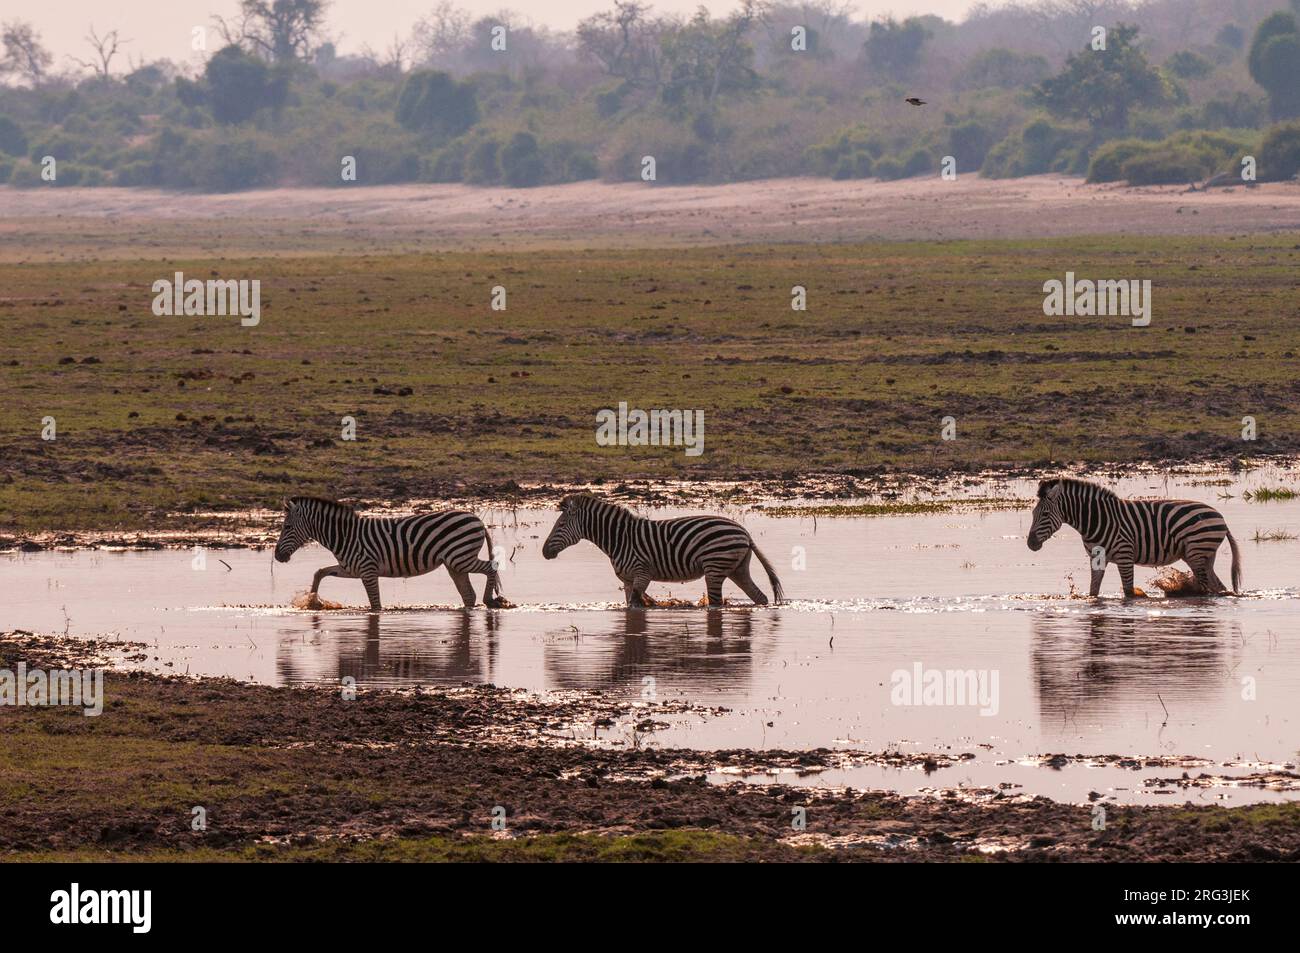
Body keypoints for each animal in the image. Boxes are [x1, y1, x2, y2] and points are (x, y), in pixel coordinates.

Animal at [273, 497, 503, 610]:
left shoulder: (367, 570)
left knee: (492, 567)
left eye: (287, 527)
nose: (277, 556)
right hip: (454, 563)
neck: (345, 536)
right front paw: (313, 602)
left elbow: (375, 606)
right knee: (468, 594)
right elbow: (319, 572)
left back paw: (491, 600)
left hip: (460, 557)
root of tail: (477, 520)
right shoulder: (351, 569)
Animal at [540, 494, 784, 607]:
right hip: (737, 568)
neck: (619, 539)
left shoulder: (642, 574)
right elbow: (629, 605)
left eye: (560, 525)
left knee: (716, 604)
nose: (544, 552)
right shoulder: (627, 580)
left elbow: (637, 606)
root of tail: (745, 533)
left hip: (715, 567)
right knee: (760, 597)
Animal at [1027, 477, 1241, 597]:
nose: (1030, 544)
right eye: (1033, 514)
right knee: (1217, 586)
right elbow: (1093, 591)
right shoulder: (1097, 558)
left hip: (1197, 551)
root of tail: (1220, 517)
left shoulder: (1124, 555)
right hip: (1201, 555)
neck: (1097, 520)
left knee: (1206, 589)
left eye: (1045, 514)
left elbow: (1128, 592)